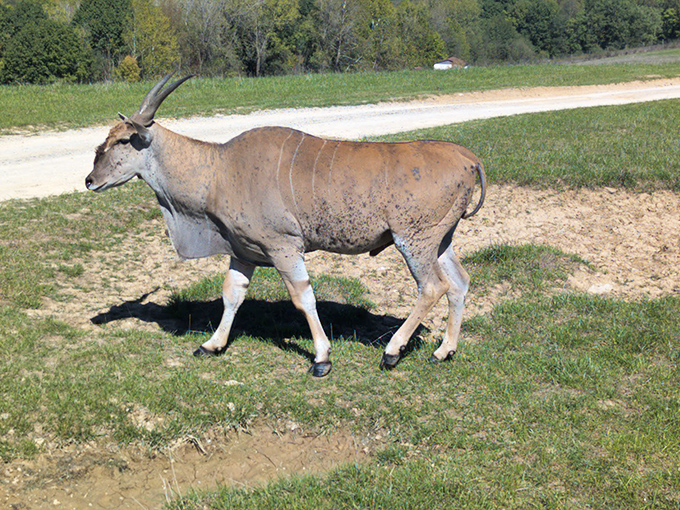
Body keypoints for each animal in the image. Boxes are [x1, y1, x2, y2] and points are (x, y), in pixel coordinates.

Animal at [86, 74, 486, 377]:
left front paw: (322, 358)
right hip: (440, 241)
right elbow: (232, 293)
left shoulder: (284, 248)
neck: (217, 168)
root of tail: (469, 158)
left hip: (413, 241)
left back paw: (392, 350)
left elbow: (303, 297)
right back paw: (444, 350)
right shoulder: (244, 252)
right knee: (459, 283)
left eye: (124, 140)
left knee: (433, 286)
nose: (89, 181)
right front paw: (212, 344)